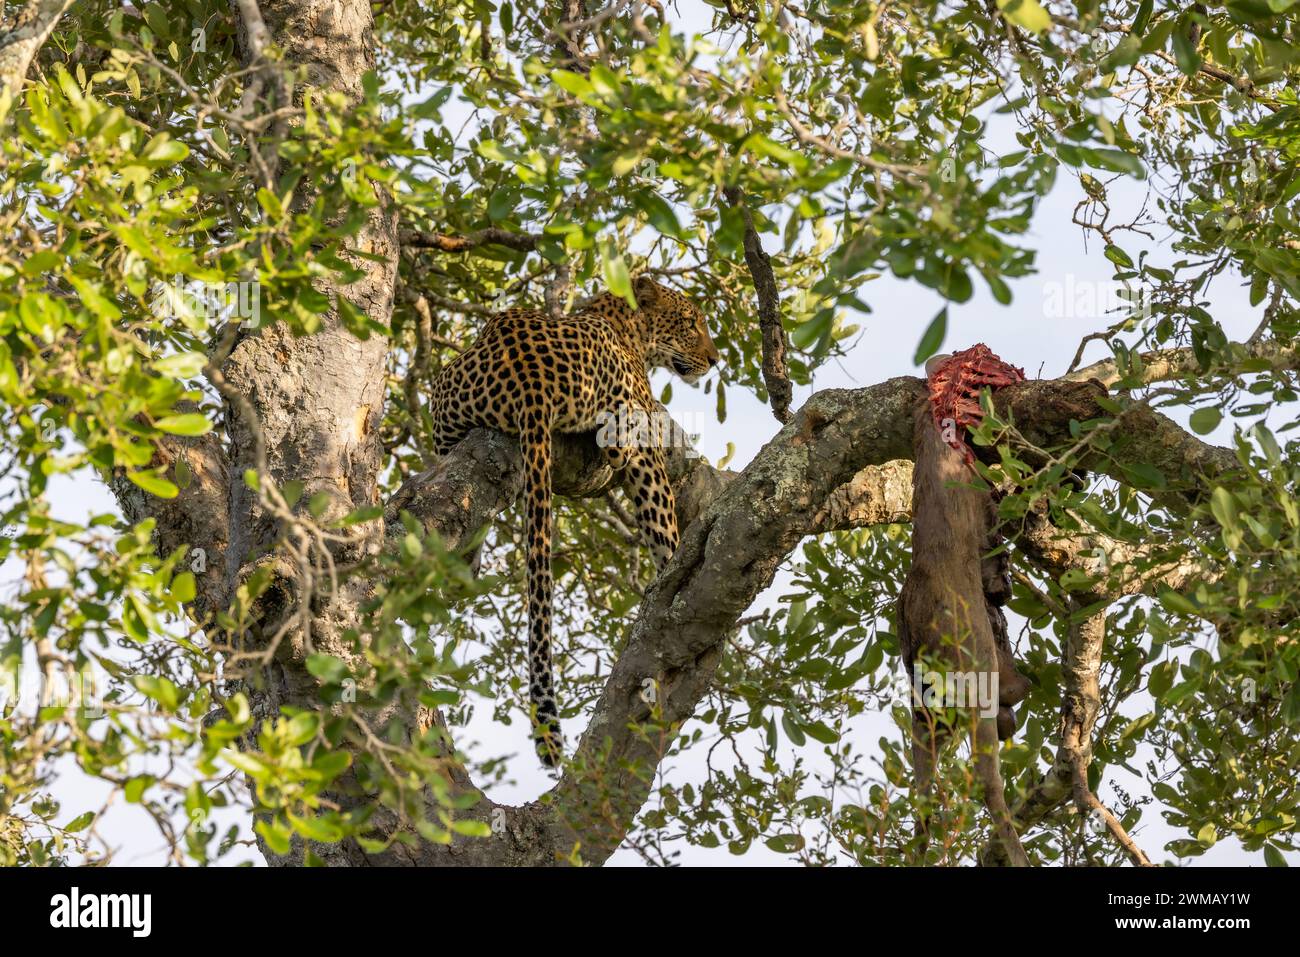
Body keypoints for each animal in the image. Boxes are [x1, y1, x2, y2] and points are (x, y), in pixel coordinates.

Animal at [428, 276, 720, 767]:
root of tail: (528, 376)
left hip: (443, 399)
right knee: (624, 453)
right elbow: (663, 520)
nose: (714, 360)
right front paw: (674, 571)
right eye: (690, 322)